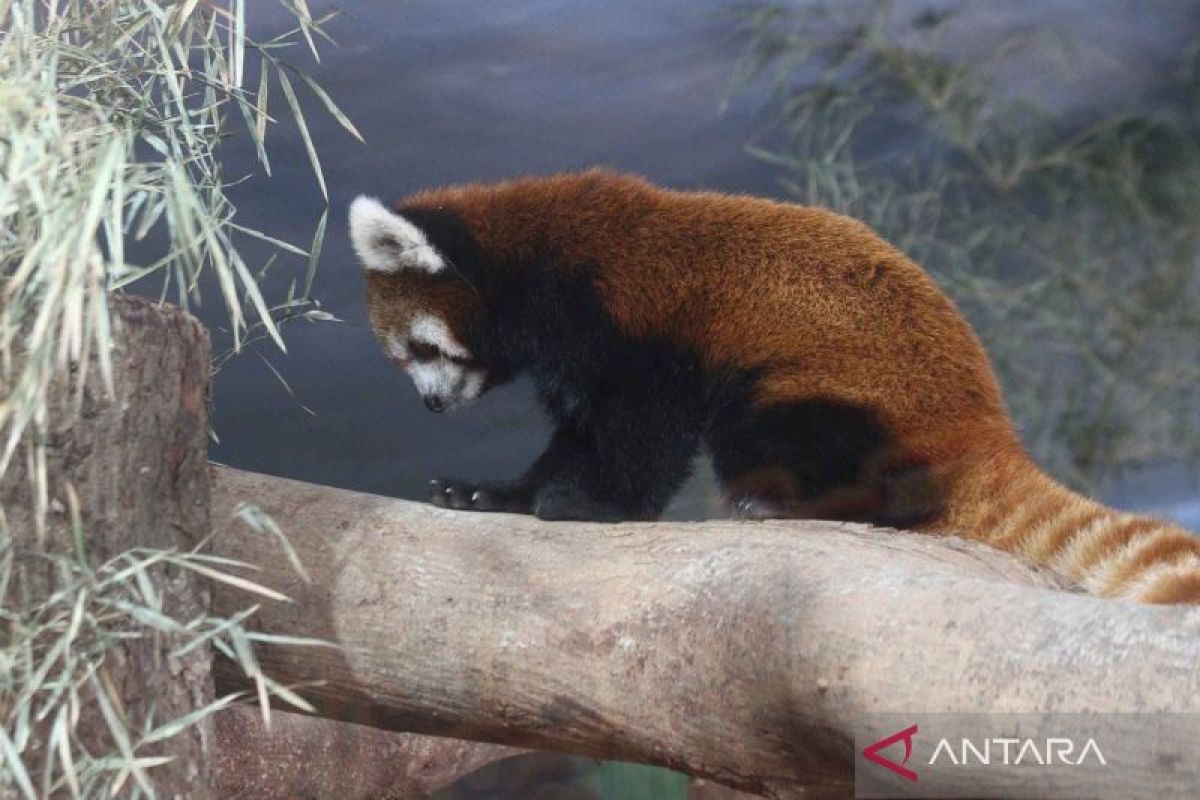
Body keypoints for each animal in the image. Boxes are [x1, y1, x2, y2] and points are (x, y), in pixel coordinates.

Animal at [349, 169, 1200, 604]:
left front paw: (593, 507)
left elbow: (644, 435)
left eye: (422, 349)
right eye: (400, 361)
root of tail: (986, 426)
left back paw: (799, 505)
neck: (541, 256)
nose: (431, 404)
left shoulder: (636, 325)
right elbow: (572, 436)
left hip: (835, 393)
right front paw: (497, 494)